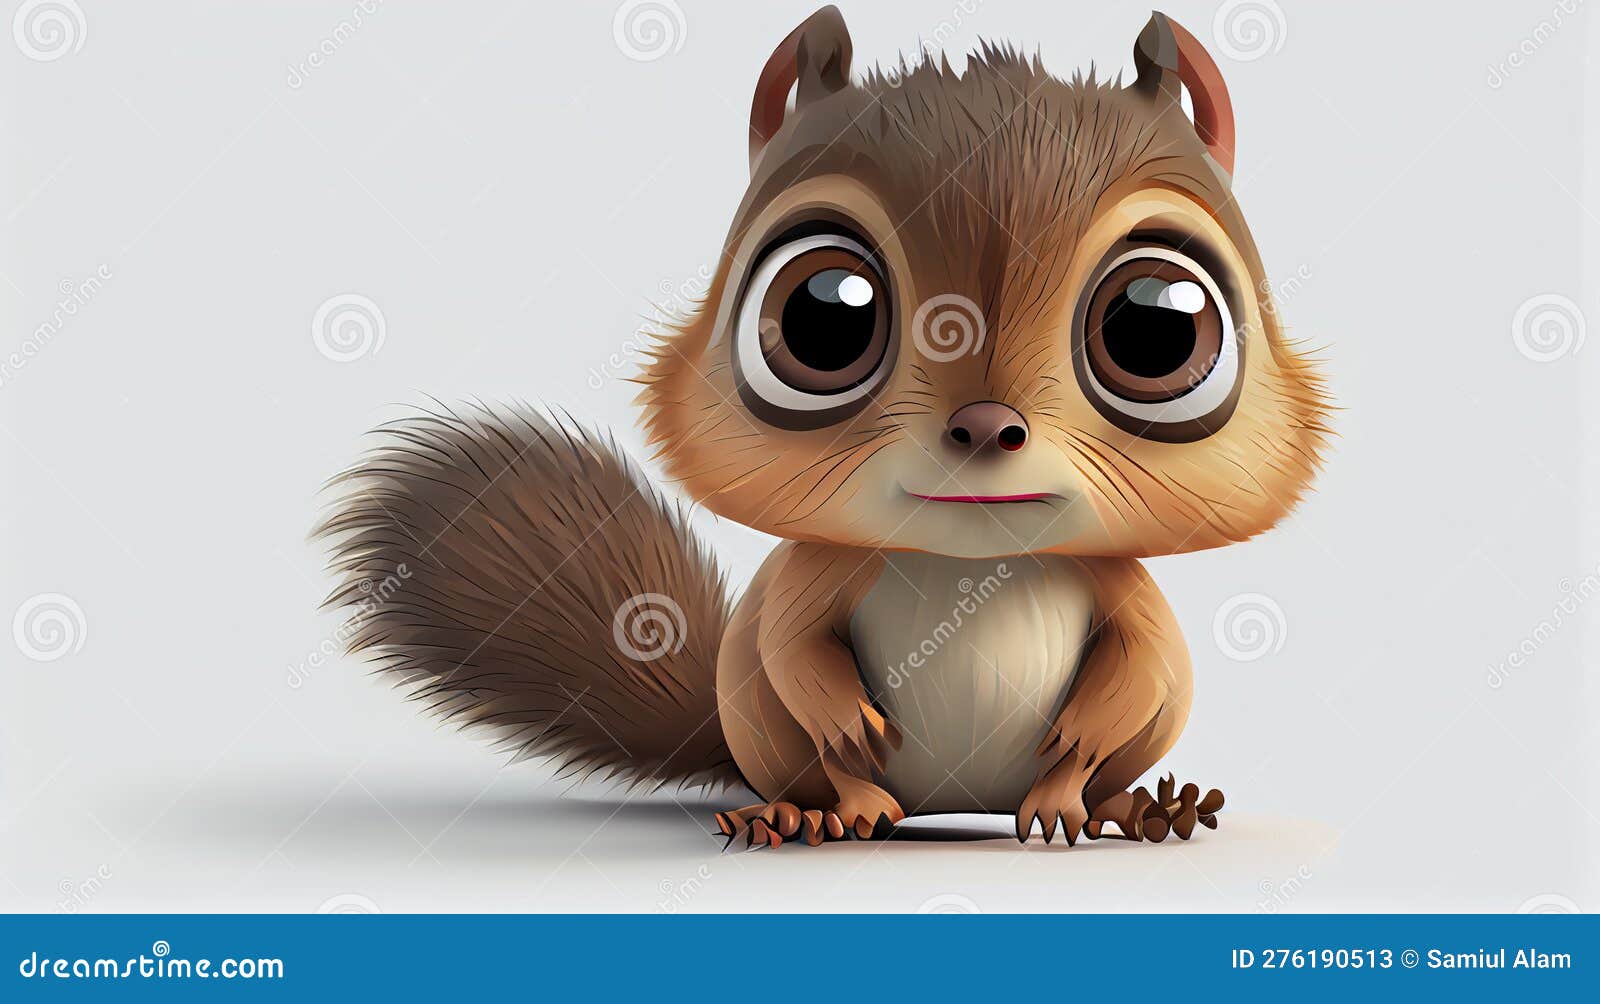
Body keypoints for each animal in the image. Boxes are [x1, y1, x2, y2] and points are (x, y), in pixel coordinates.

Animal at [315, 8, 1330, 848]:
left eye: (1157, 328)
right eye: (819, 316)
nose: (985, 426)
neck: (966, 564)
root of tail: (955, 806)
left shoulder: (1122, 589)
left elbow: (1144, 660)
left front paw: (1084, 731)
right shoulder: (813, 578)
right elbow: (794, 650)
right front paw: (846, 715)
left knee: (1092, 776)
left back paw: (1128, 809)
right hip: (765, 725)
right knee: (826, 772)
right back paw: (816, 815)